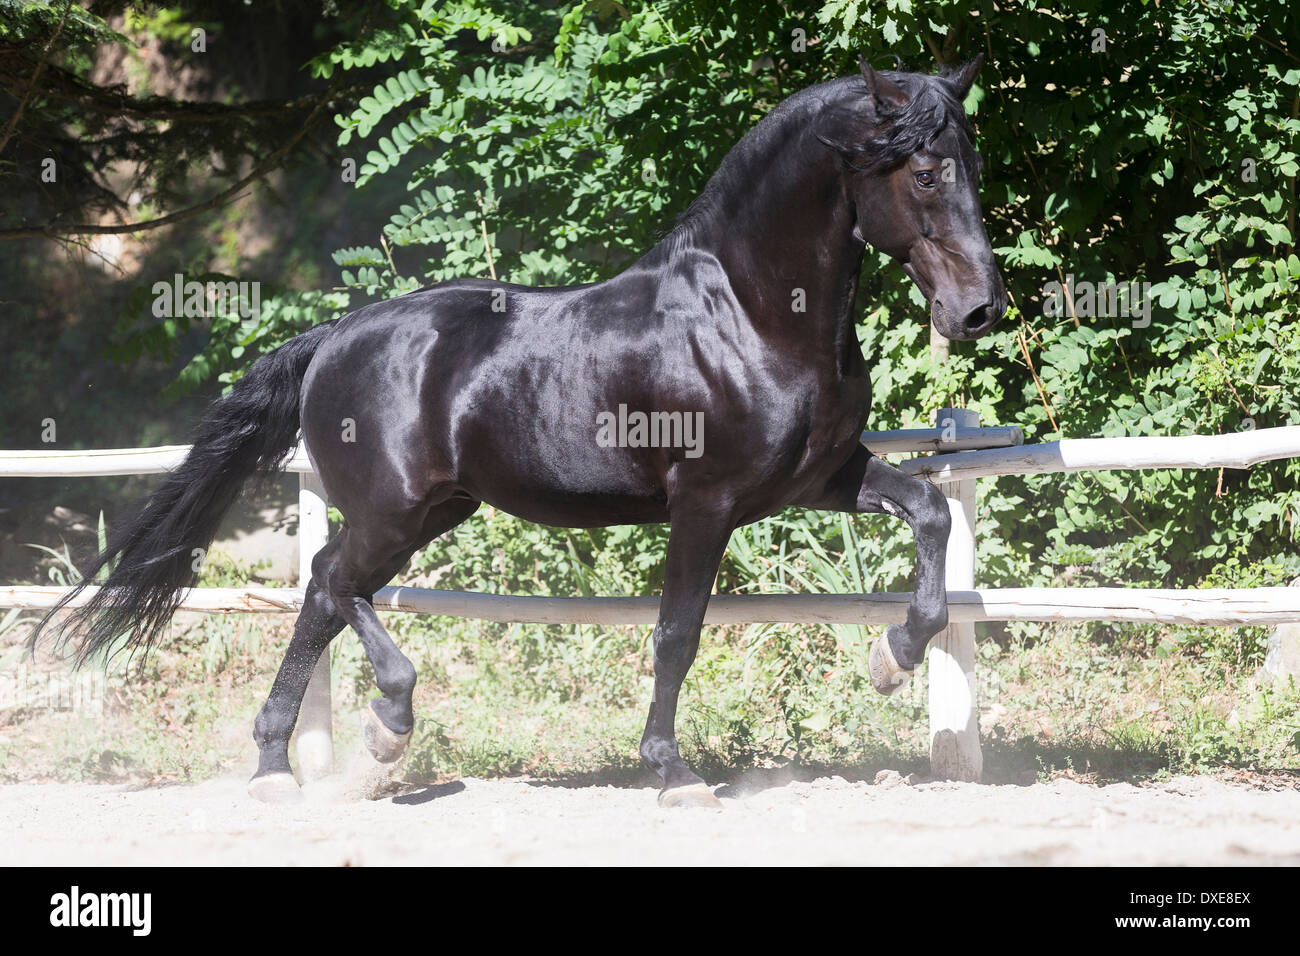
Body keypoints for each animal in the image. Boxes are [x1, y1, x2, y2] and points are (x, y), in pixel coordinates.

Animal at [33, 55, 1007, 808]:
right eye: (925, 173)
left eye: (975, 163)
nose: (978, 311)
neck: (749, 315)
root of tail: (335, 337)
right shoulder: (706, 502)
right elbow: (678, 633)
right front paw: (673, 773)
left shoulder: (818, 478)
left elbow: (930, 516)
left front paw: (891, 658)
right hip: (394, 511)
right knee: (333, 583)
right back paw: (386, 727)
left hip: (436, 510)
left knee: (322, 595)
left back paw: (277, 766)